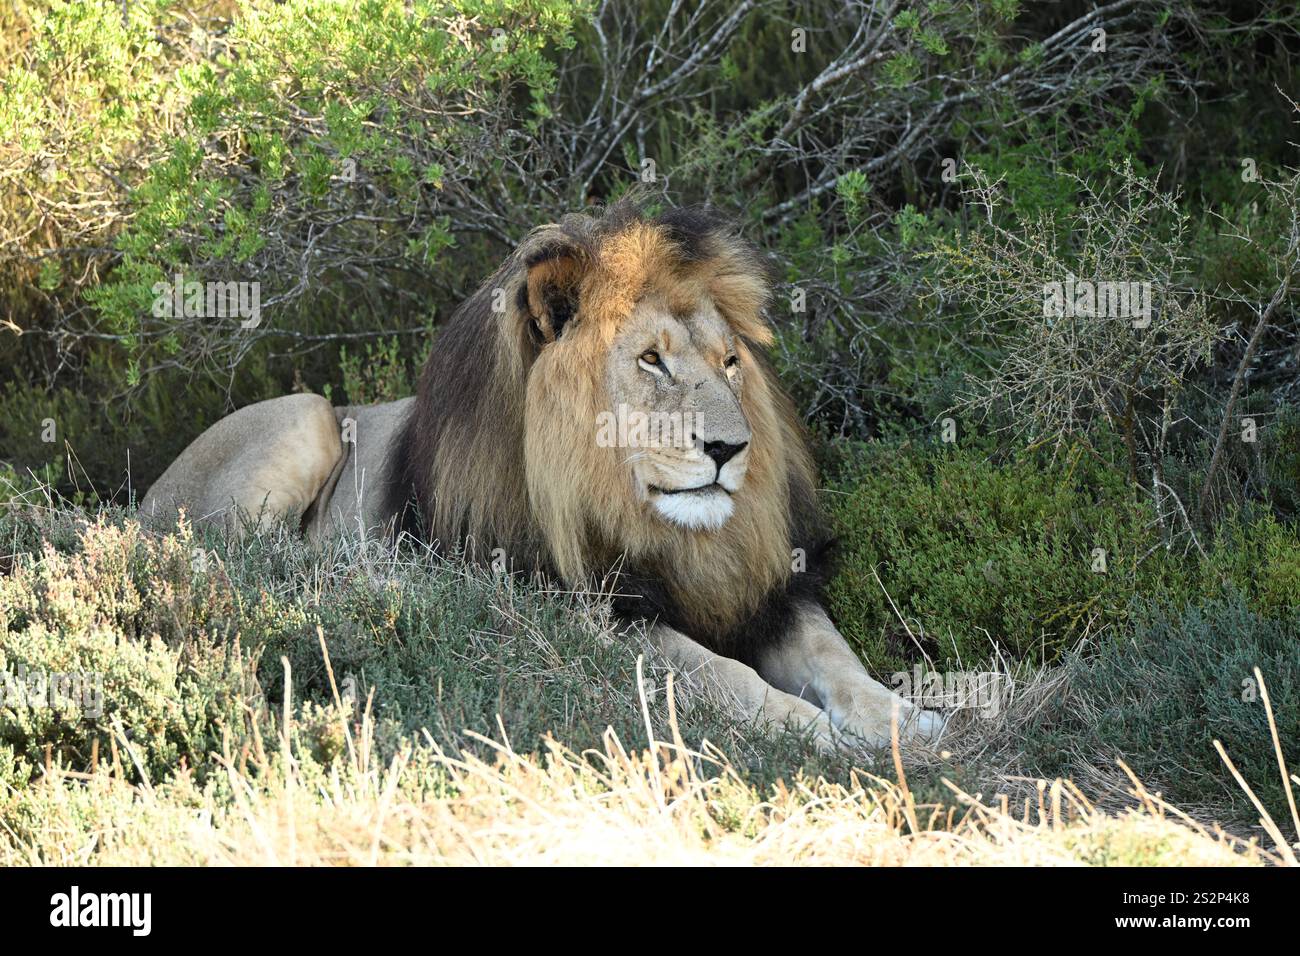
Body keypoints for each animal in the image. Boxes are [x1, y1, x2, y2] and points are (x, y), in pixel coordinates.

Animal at [141, 201, 943, 750]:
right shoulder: (585, 606)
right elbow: (718, 673)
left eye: (730, 364)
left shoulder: (767, 594)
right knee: (234, 556)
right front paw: (810, 731)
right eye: (651, 360)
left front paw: (907, 717)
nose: (731, 447)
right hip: (306, 415)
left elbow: (836, 657)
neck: (659, 527)